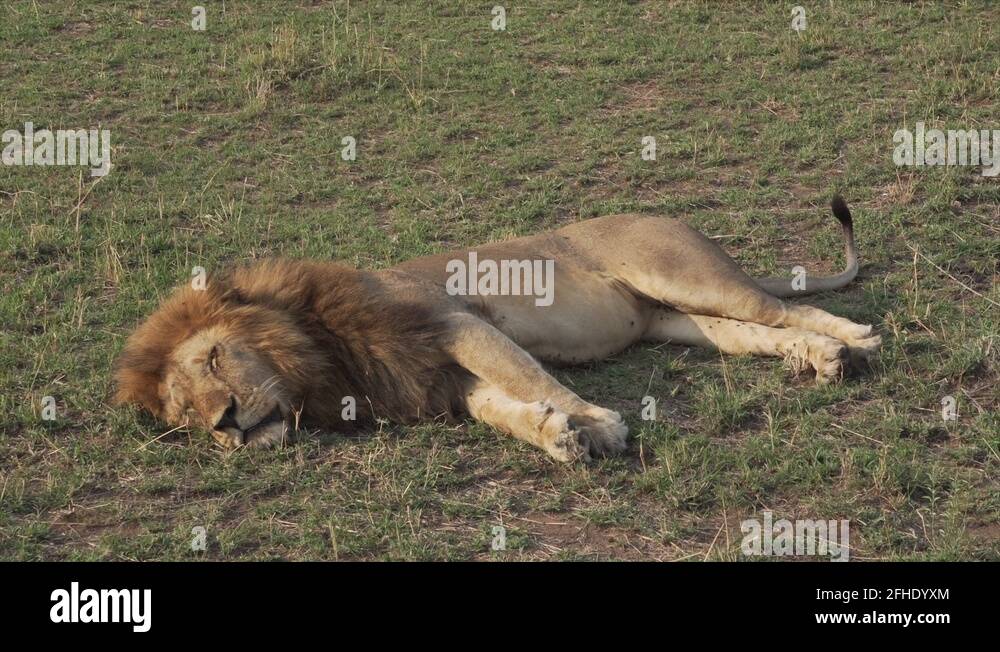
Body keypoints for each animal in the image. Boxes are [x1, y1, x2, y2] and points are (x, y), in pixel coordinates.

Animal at [114, 197, 881, 462]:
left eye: (217, 359)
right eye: (184, 415)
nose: (226, 423)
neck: (321, 352)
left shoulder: (450, 322)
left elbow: (526, 372)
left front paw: (598, 424)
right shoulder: (441, 379)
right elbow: (504, 408)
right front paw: (557, 436)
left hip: (683, 274)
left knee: (782, 308)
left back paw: (856, 340)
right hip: (677, 320)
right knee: (754, 332)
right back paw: (819, 358)